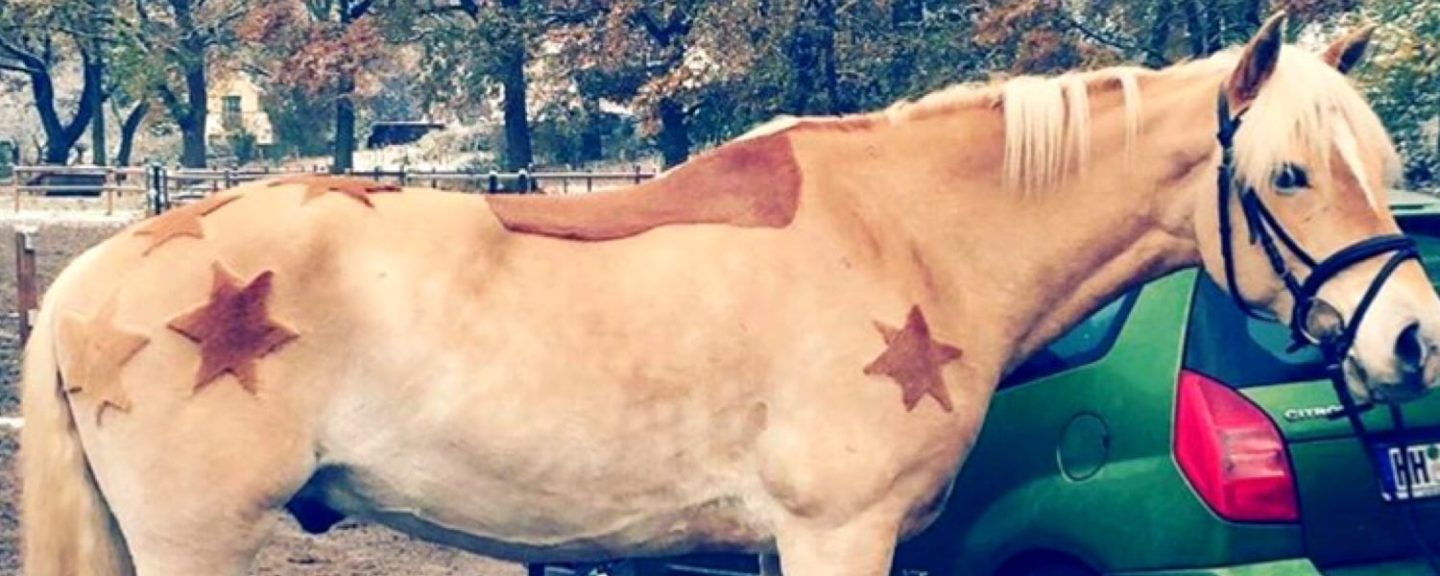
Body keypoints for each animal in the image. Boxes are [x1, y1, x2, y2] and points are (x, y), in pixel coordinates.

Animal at [22, 14, 1440, 576]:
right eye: (1292, 172)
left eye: (1380, 170)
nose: (1417, 338)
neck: (907, 236)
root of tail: (96, 266)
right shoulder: (837, 536)